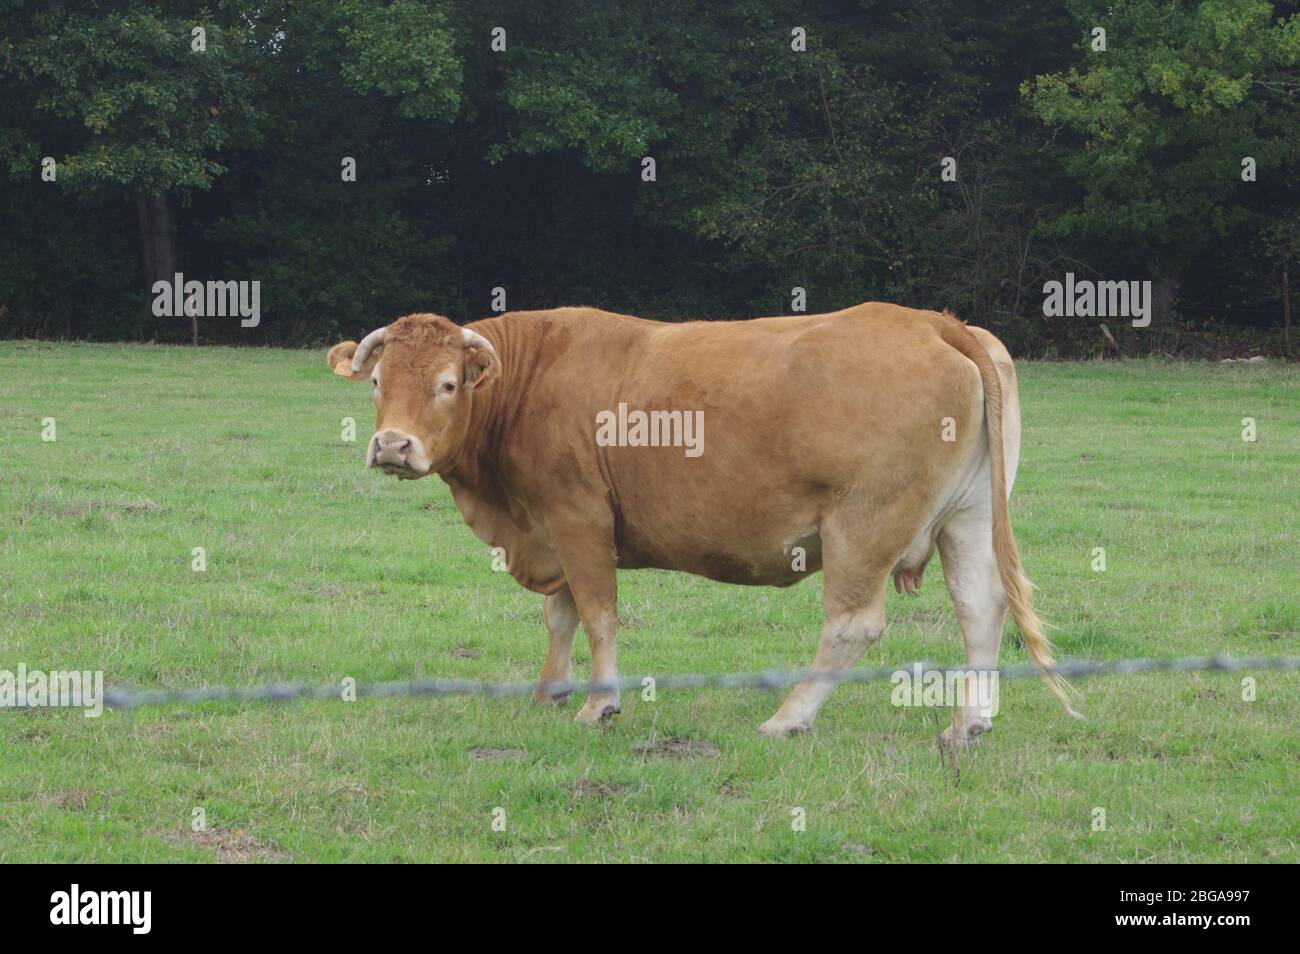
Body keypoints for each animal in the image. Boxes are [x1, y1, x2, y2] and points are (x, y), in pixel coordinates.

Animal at [327, 303, 1075, 745]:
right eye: (377, 383)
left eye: (448, 384)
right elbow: (560, 615)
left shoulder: (577, 518)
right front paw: (549, 687)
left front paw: (600, 703)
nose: (392, 446)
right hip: (969, 515)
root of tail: (931, 320)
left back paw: (788, 717)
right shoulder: (549, 528)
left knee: (853, 625)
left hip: (862, 523)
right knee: (980, 606)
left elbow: (595, 613)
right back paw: (969, 720)